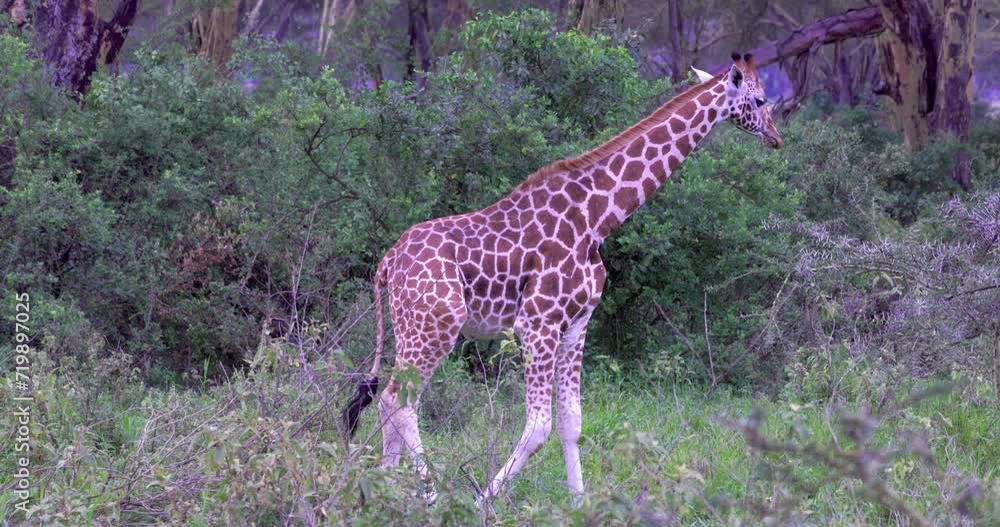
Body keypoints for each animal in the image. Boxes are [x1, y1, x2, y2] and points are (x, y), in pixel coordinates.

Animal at [342, 52, 782, 504]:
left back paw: (383, 489)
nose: (776, 138)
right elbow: (539, 427)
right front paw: (483, 502)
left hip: (411, 328)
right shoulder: (537, 323)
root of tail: (387, 263)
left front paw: (579, 504)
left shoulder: (576, 324)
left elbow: (573, 423)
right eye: (760, 100)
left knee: (391, 401)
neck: (597, 218)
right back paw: (428, 497)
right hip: (435, 326)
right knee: (399, 401)